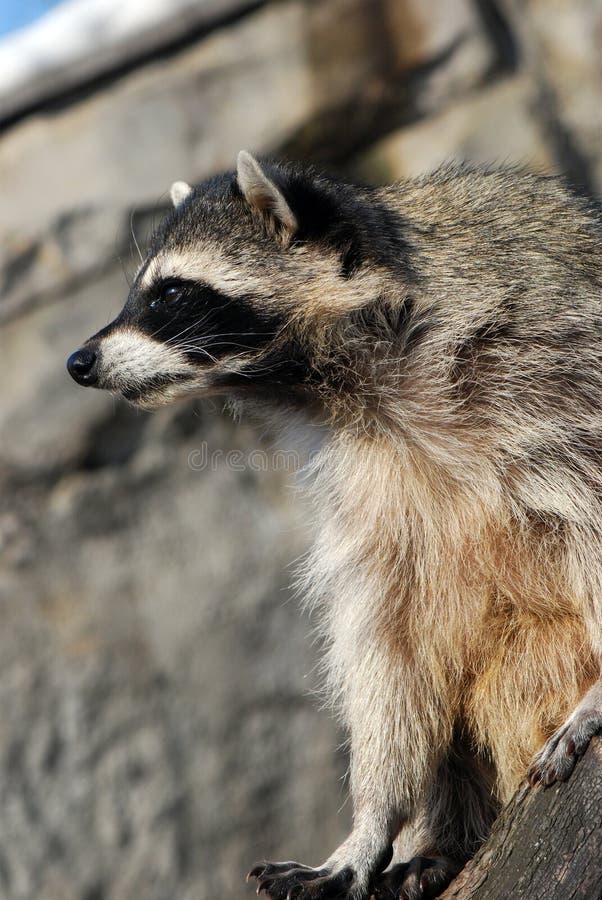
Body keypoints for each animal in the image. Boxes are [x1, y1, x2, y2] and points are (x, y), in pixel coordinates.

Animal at [67, 153, 602, 900]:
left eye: (170, 294)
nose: (78, 363)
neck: (345, 382)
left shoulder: (550, 379)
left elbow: (591, 525)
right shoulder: (370, 494)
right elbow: (388, 643)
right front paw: (372, 822)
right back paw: (445, 835)